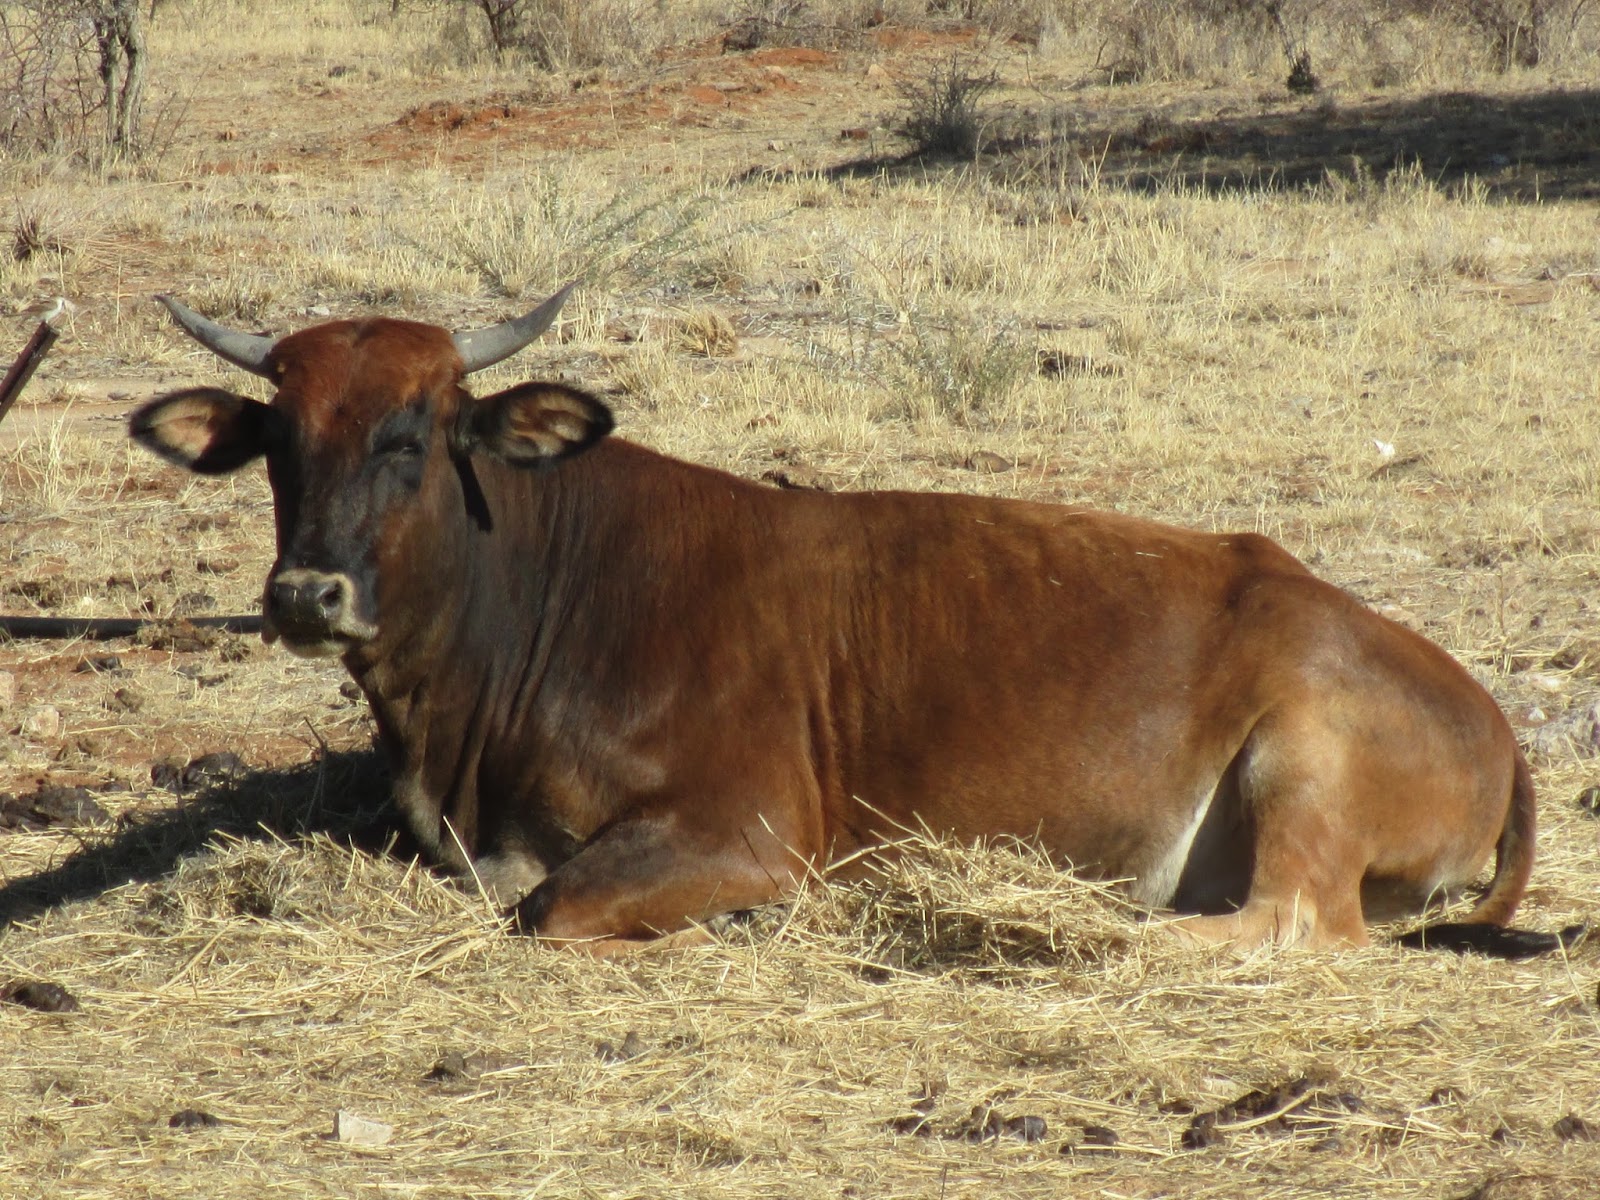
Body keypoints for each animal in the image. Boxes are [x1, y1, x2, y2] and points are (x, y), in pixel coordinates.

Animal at [129, 284, 1548, 957]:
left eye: (412, 434)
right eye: (277, 442)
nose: (305, 594)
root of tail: (1485, 712)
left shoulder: (744, 827)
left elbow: (550, 910)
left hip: (1299, 760)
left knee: (1287, 925)